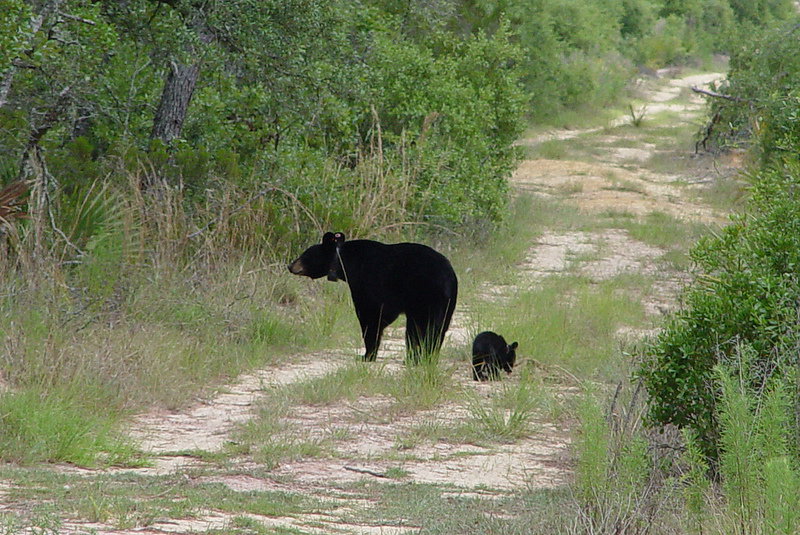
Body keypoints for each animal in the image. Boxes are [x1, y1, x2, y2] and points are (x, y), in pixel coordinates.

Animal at [288, 232, 458, 362]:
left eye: (304, 254)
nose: (290, 265)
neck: (343, 262)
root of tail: (448, 277)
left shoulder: (366, 282)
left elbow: (370, 315)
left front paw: (366, 355)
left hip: (423, 297)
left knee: (420, 328)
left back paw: (416, 358)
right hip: (447, 304)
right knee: (438, 329)